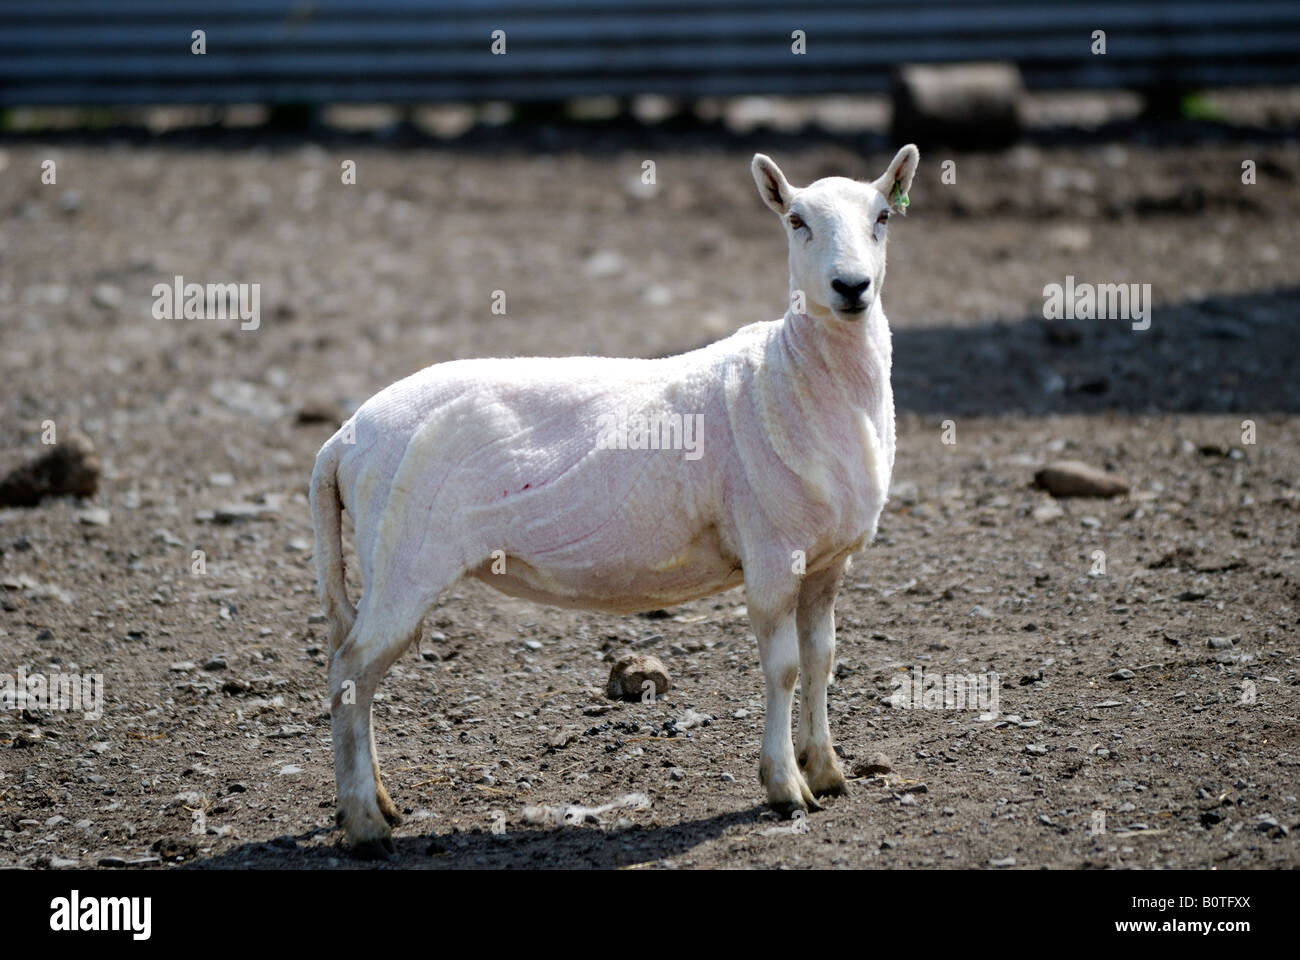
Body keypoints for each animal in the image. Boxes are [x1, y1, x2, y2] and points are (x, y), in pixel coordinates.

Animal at [310, 145, 920, 857]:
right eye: (796, 221)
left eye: (882, 217)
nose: (852, 287)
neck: (795, 376)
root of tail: (344, 438)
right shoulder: (771, 554)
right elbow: (784, 668)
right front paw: (784, 787)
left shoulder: (828, 561)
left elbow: (822, 659)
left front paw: (826, 771)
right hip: (403, 557)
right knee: (350, 670)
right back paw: (364, 822)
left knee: (354, 671)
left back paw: (378, 803)